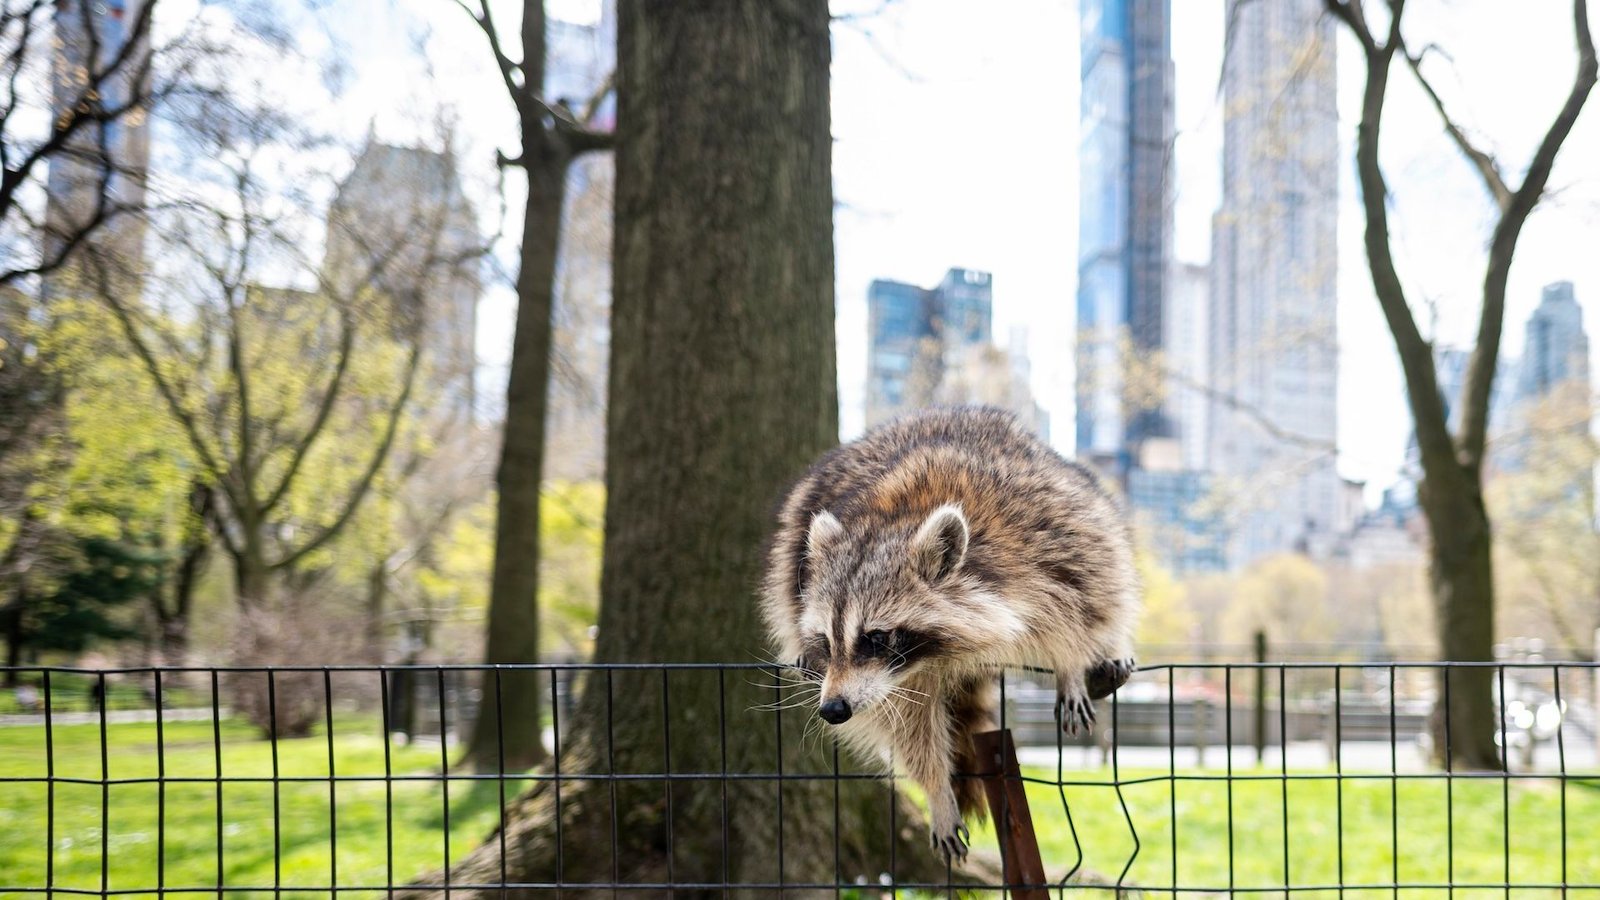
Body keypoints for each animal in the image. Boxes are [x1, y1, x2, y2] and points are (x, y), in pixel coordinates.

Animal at [760, 406, 1140, 862]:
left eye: (875, 637)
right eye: (826, 641)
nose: (833, 709)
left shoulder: (1045, 536)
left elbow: (1079, 600)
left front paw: (1069, 662)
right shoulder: (900, 679)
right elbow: (911, 727)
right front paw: (936, 790)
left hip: (1080, 497)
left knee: (1112, 572)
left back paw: (1112, 646)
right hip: (794, 538)